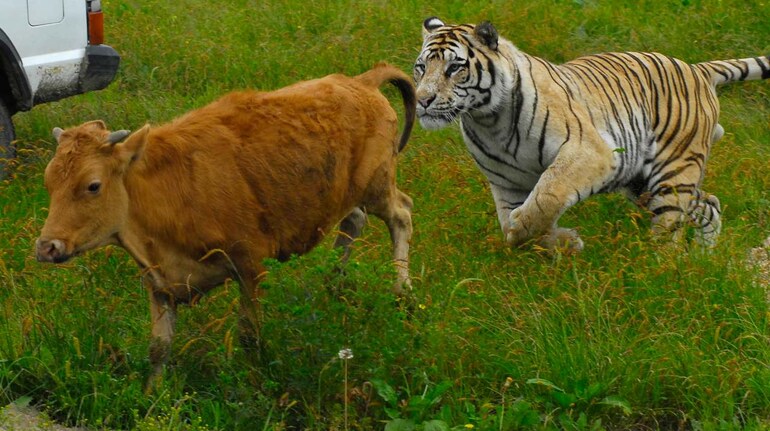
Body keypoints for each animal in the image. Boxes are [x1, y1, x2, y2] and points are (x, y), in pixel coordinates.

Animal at [35, 63, 416, 386]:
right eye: (49, 182)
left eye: (93, 185)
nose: (47, 247)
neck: (164, 185)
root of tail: (361, 82)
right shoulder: (159, 283)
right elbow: (158, 348)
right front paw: (152, 398)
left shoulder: (250, 267)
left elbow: (249, 335)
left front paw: (254, 384)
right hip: (349, 195)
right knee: (354, 220)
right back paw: (334, 283)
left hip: (377, 186)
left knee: (402, 214)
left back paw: (402, 293)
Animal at [413, 17, 770, 252]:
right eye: (421, 67)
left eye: (454, 67)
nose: (422, 99)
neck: (489, 120)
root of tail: (696, 68)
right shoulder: (507, 184)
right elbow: (519, 223)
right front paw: (561, 242)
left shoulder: (588, 151)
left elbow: (546, 197)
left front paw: (537, 232)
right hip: (642, 183)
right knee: (709, 203)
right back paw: (703, 256)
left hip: (672, 175)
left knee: (670, 229)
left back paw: (664, 272)